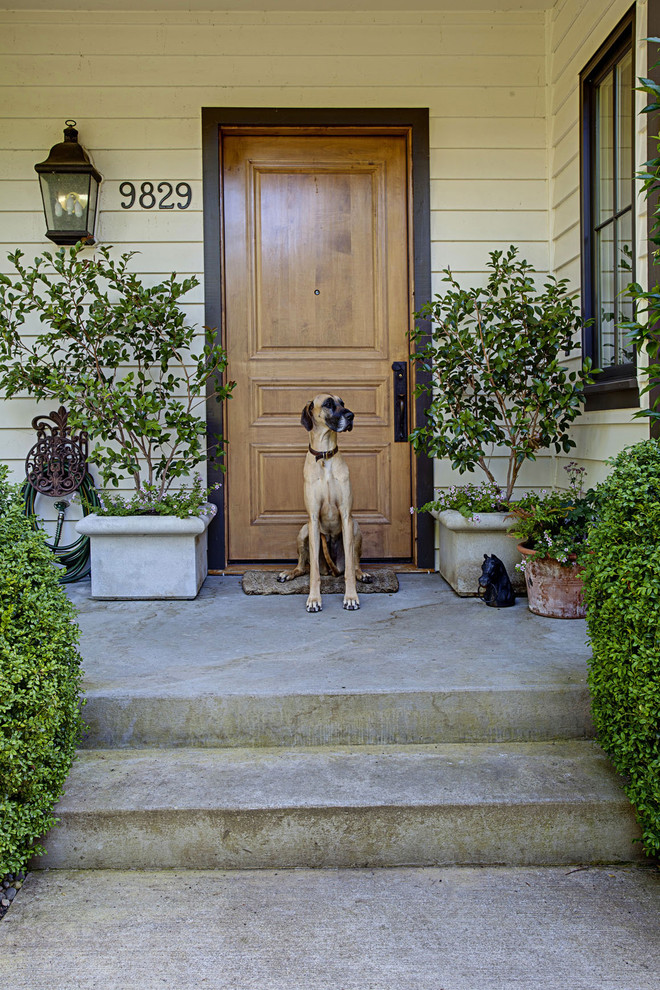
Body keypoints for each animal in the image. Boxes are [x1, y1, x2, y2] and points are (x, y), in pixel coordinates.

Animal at [276, 396, 372, 612]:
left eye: (342, 402)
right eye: (328, 404)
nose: (351, 416)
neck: (325, 456)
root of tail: (330, 569)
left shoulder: (346, 515)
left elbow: (349, 571)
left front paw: (351, 597)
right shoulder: (312, 519)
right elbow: (313, 572)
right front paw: (314, 599)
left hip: (355, 527)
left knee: (354, 564)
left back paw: (362, 574)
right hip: (303, 530)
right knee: (303, 567)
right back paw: (289, 572)